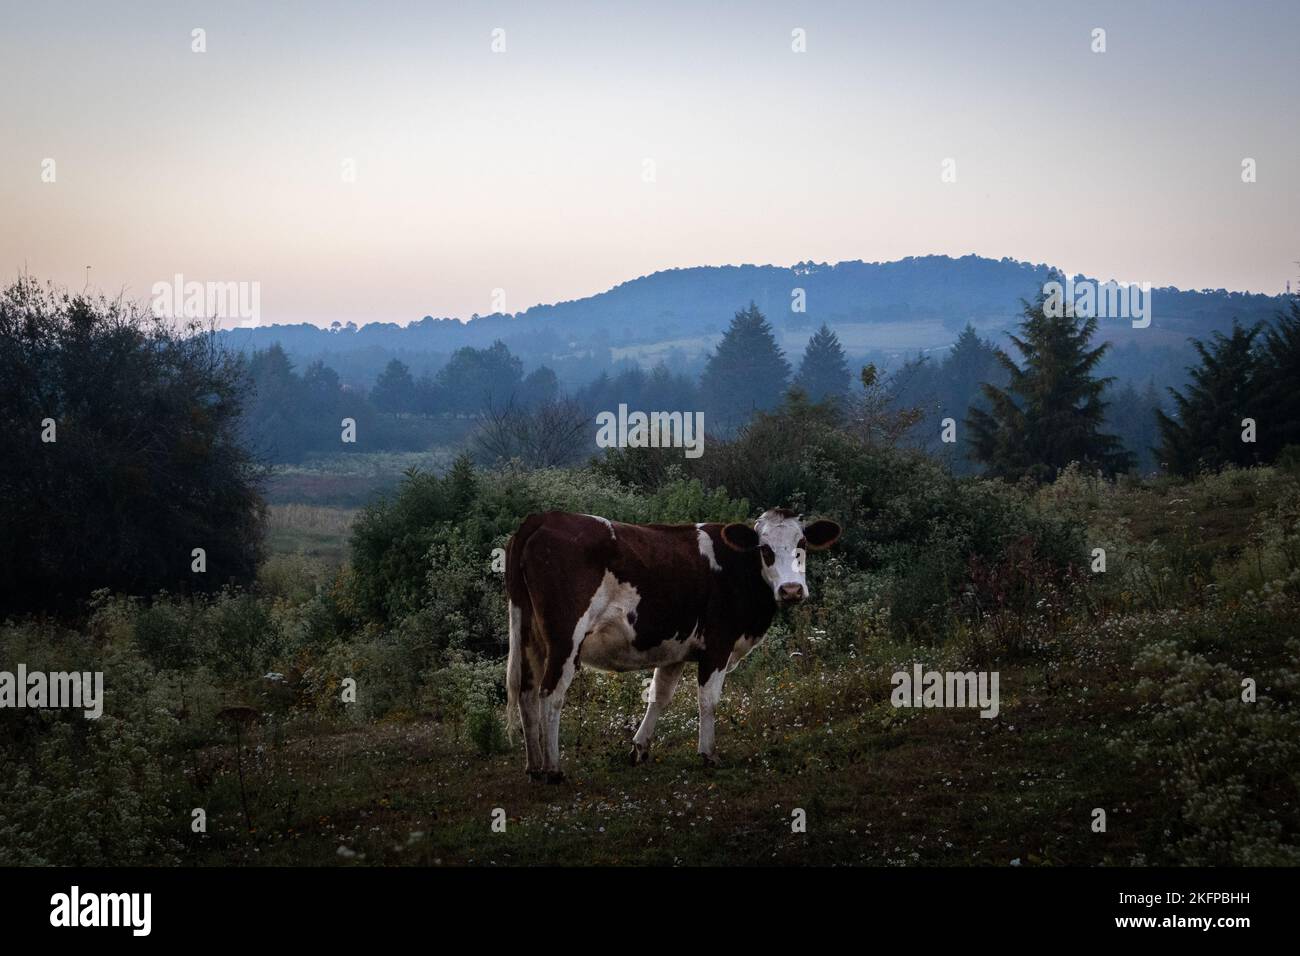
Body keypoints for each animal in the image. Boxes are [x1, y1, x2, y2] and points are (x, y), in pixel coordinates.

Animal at [504, 508, 842, 781]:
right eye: (765, 548)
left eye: (802, 545)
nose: (791, 590)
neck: (737, 569)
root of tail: (543, 517)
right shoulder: (717, 646)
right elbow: (708, 700)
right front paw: (708, 753)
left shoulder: (675, 650)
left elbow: (659, 696)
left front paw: (639, 748)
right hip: (564, 639)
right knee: (550, 695)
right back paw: (553, 769)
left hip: (529, 635)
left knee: (526, 693)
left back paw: (534, 767)